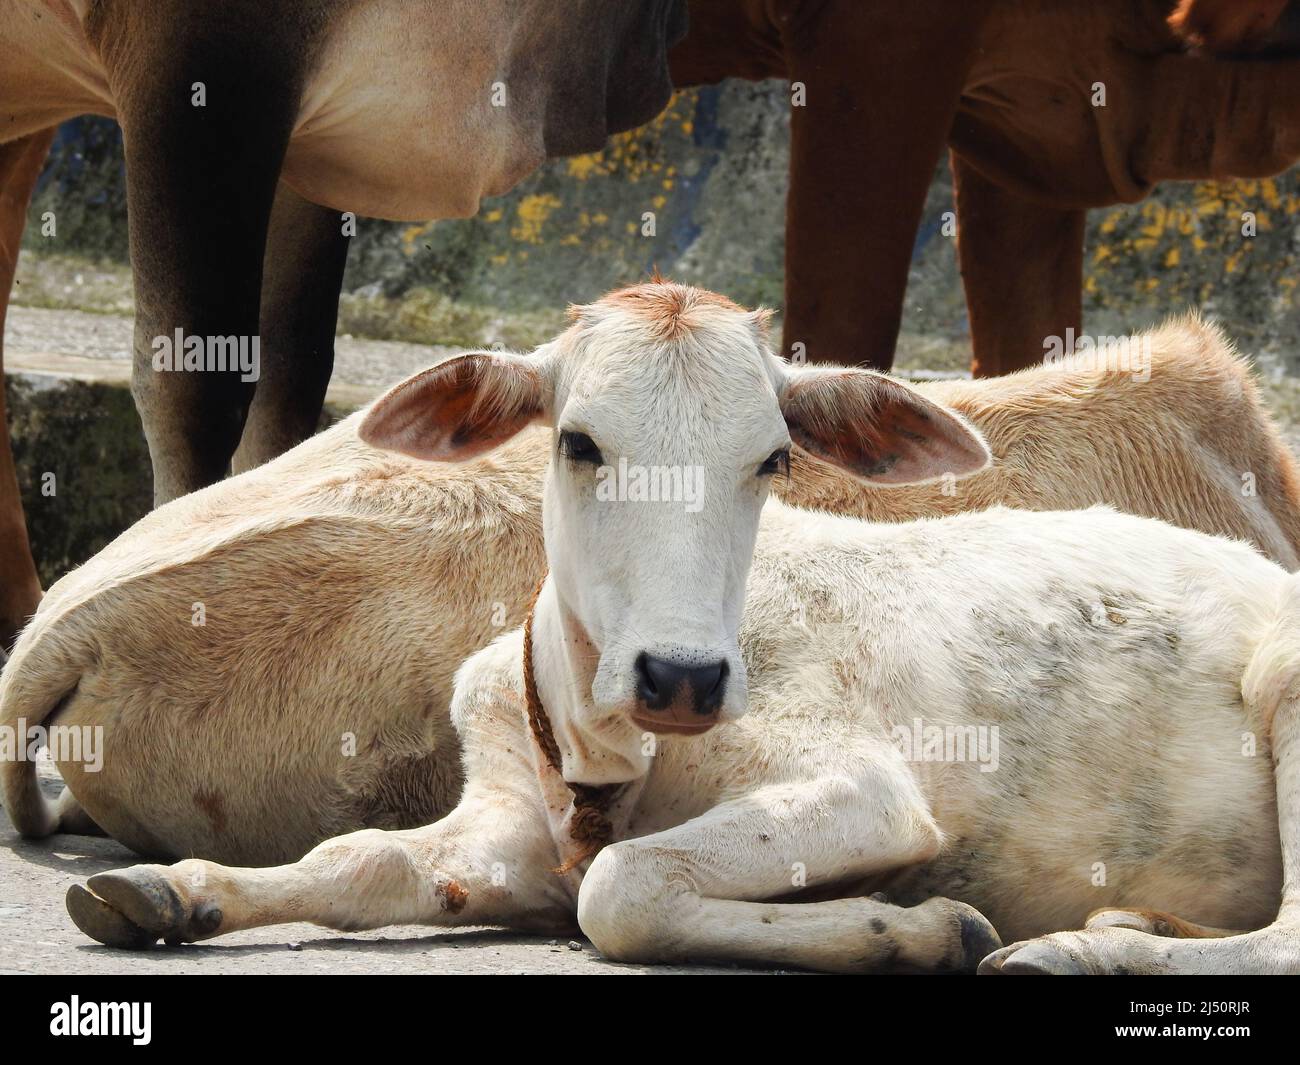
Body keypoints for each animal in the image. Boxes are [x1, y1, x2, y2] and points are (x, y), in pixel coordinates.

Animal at [60, 281, 1300, 974]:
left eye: (772, 459)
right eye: (577, 441)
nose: (682, 676)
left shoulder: (865, 792)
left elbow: (623, 891)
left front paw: (909, 930)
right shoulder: (501, 825)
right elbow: (356, 858)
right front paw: (172, 891)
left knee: (1284, 939)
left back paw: (1077, 947)